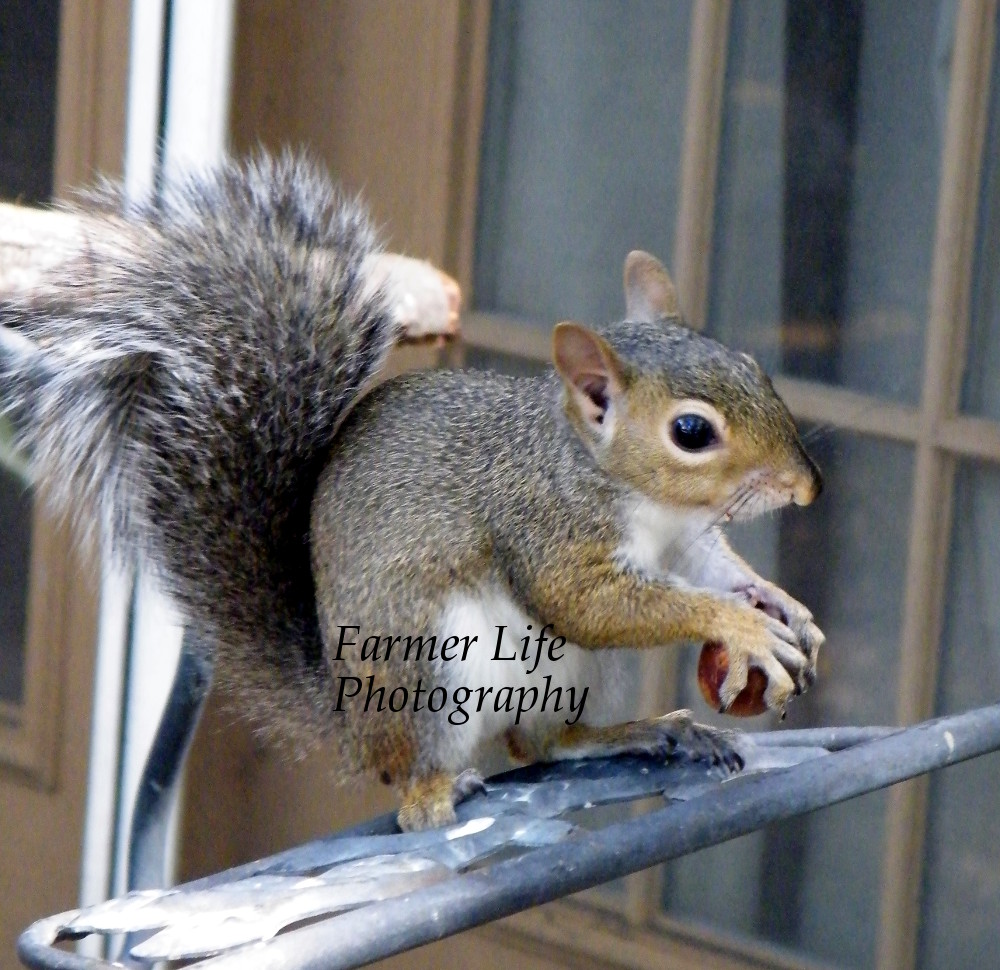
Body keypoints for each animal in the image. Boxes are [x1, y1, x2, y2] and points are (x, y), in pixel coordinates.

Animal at [0, 152, 823, 831]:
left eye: (753, 367)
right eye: (691, 431)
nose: (806, 487)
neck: (638, 496)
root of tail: (353, 726)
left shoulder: (684, 541)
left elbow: (715, 571)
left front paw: (781, 606)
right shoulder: (546, 525)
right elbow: (590, 602)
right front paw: (740, 625)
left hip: (579, 674)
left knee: (544, 744)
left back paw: (646, 730)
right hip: (429, 664)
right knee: (423, 791)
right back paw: (436, 792)